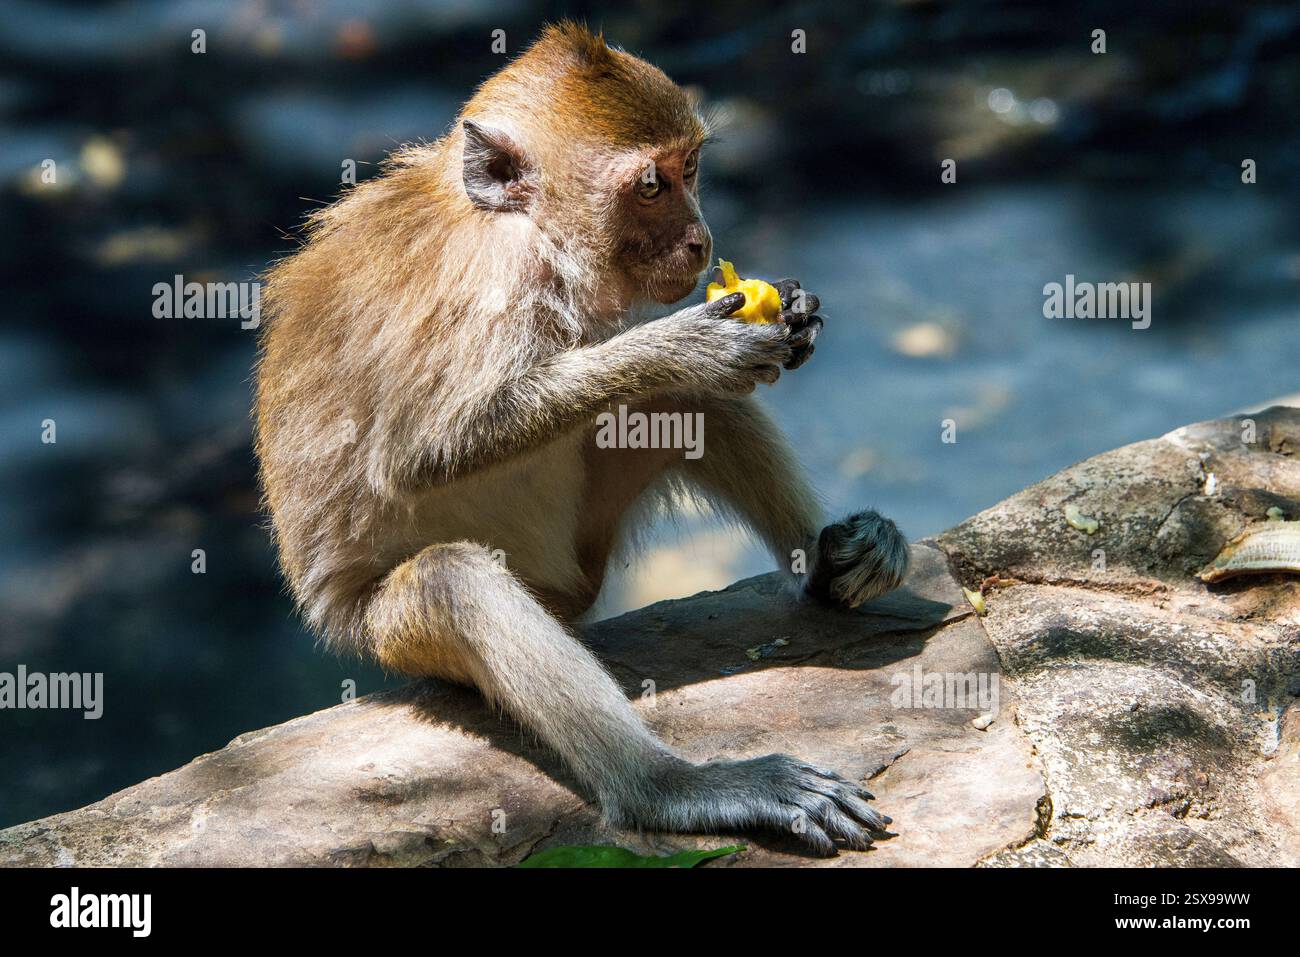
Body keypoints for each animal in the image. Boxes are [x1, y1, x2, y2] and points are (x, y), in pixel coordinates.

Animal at [255, 22, 909, 855]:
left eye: (691, 167)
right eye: (650, 186)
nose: (703, 240)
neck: (525, 231)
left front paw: (791, 309)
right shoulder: (485, 282)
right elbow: (416, 455)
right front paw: (686, 345)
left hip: (587, 542)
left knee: (693, 407)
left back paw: (830, 562)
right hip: (387, 632)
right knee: (455, 583)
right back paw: (674, 788)